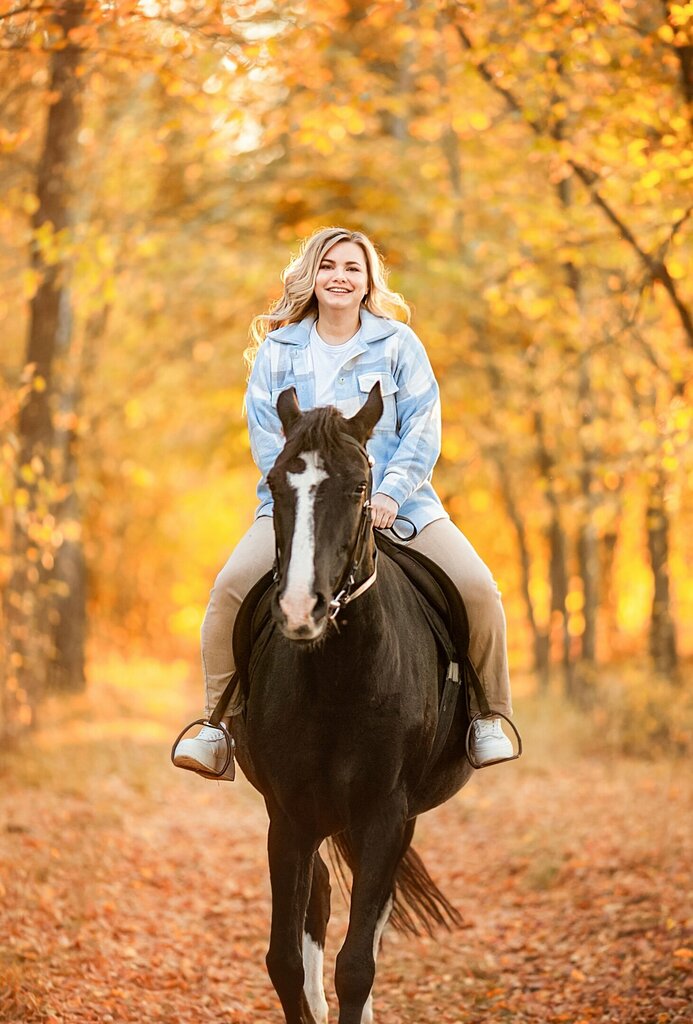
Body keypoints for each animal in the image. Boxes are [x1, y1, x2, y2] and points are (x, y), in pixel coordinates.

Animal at [230, 383, 475, 1024]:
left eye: (362, 486)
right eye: (275, 481)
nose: (300, 609)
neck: (340, 684)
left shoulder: (385, 816)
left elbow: (358, 962)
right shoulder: (288, 817)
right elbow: (285, 961)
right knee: (318, 901)